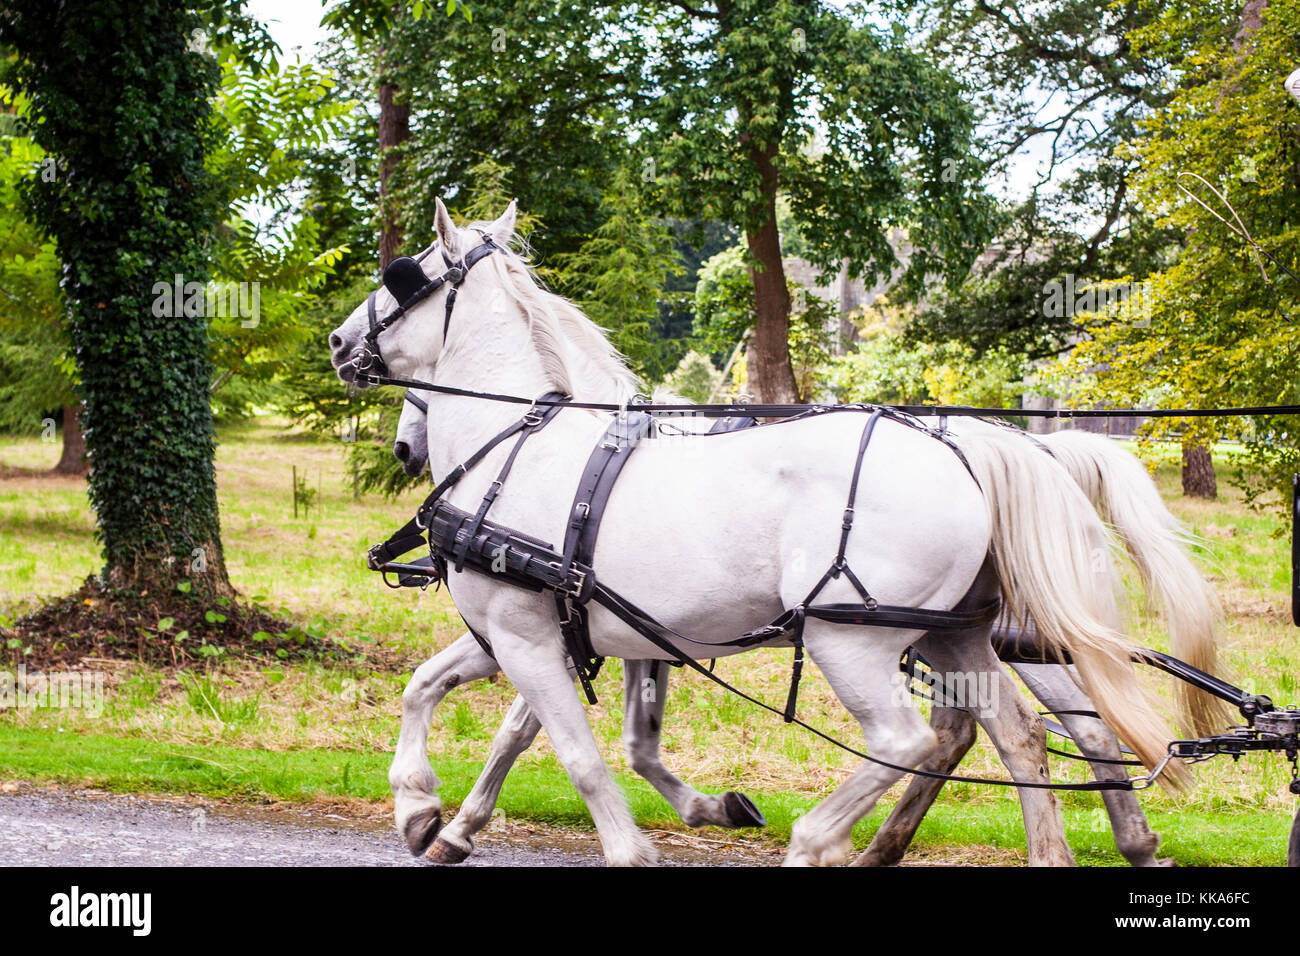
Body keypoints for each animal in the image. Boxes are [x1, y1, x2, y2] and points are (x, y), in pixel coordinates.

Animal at [331, 198, 1192, 866]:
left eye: (402, 277)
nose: (340, 343)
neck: (518, 445)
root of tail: (970, 451)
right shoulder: (547, 632)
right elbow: (432, 689)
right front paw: (423, 810)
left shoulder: (526, 631)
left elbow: (568, 747)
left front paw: (621, 845)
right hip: (953, 634)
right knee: (1018, 733)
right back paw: (1050, 847)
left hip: (855, 641)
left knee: (919, 739)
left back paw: (819, 840)